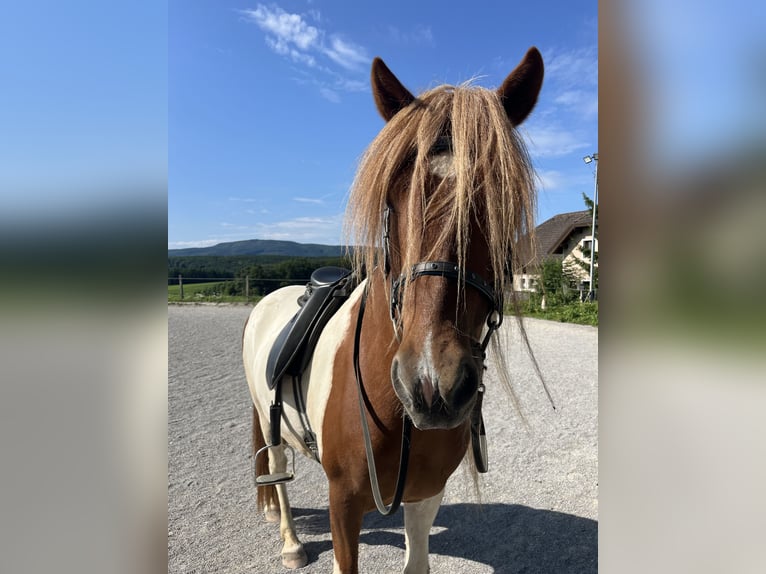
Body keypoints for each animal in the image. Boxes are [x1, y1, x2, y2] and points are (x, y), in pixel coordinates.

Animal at [243, 47, 544, 573]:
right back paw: (292, 543)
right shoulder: (343, 502)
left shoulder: (425, 495)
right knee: (277, 471)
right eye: (391, 200)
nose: (432, 385)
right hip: (269, 418)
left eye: (500, 202)